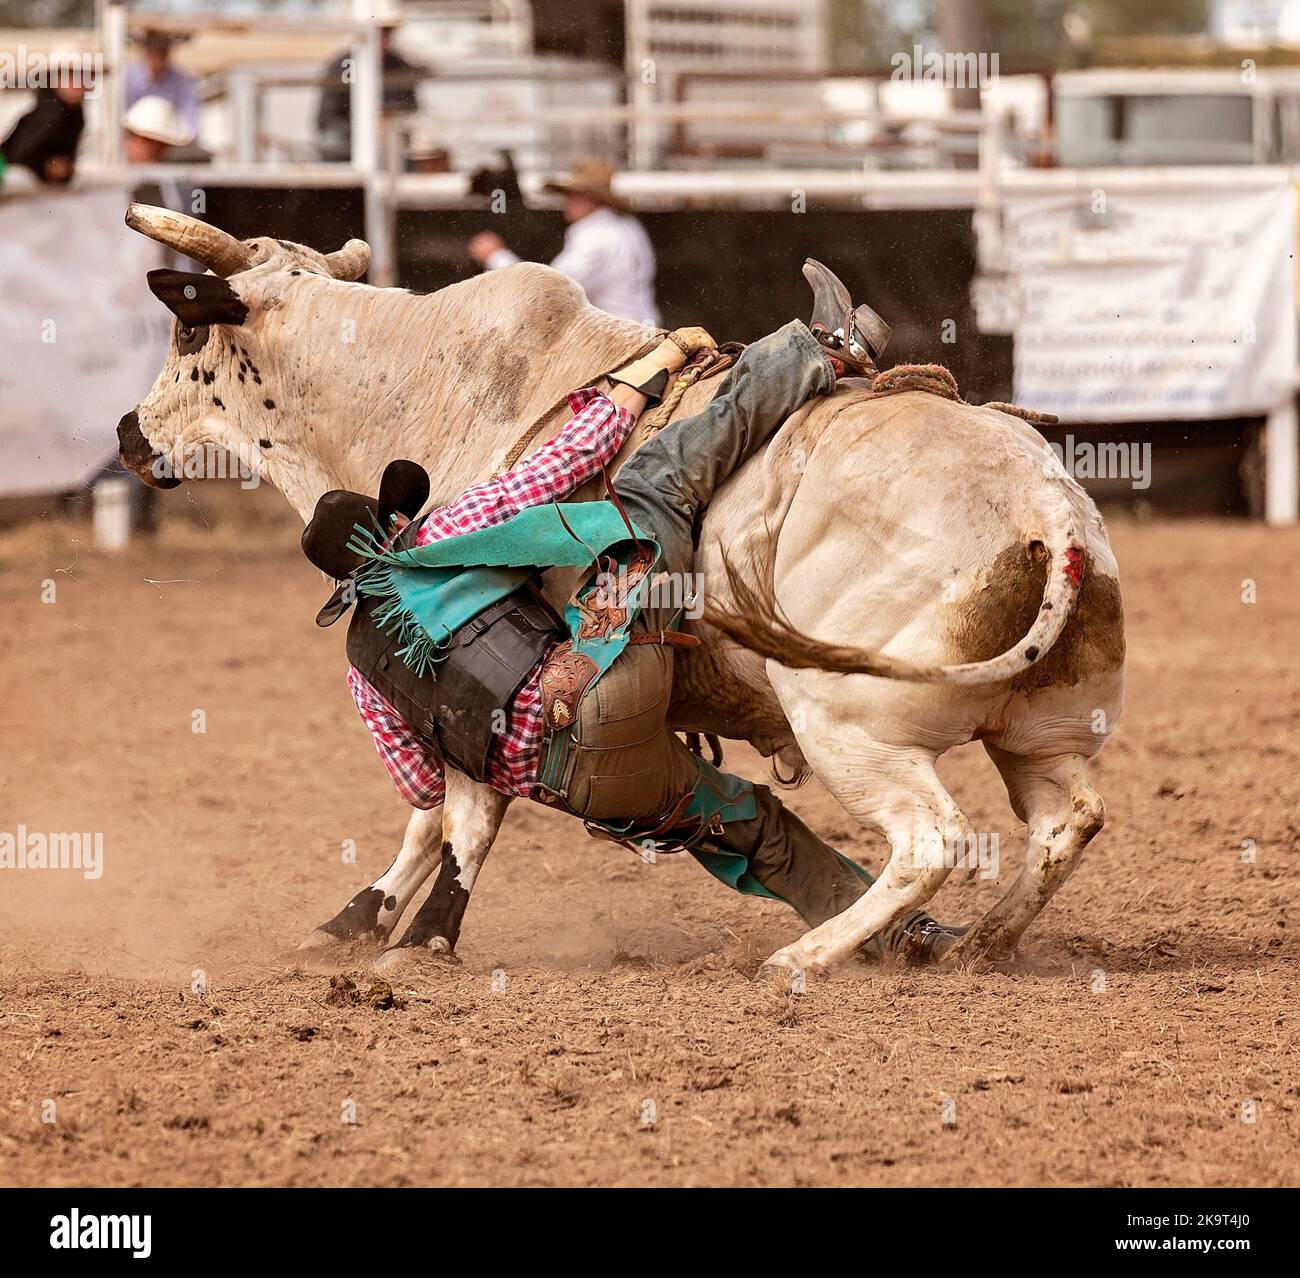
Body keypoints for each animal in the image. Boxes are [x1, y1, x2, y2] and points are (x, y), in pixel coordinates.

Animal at [116, 205, 1125, 977]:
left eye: (187, 330)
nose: (129, 433)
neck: (418, 383)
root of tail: (1044, 502)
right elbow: (432, 815)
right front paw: (355, 922)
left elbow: (457, 813)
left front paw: (418, 939)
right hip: (1042, 734)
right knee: (1066, 822)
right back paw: (975, 947)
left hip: (849, 724)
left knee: (930, 841)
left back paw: (802, 959)